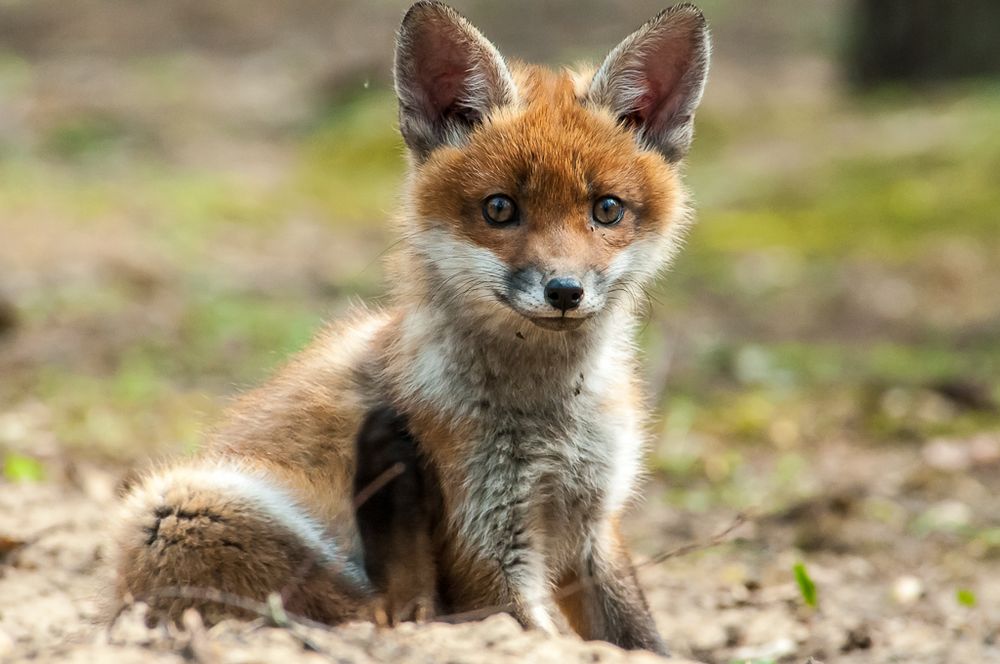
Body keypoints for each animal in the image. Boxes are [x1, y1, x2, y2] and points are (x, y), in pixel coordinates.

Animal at [112, 1, 710, 655]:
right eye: (499, 208)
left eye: (607, 209)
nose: (564, 291)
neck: (550, 419)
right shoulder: (483, 539)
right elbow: (530, 636)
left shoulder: (592, 522)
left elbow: (642, 636)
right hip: (178, 510)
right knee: (394, 616)